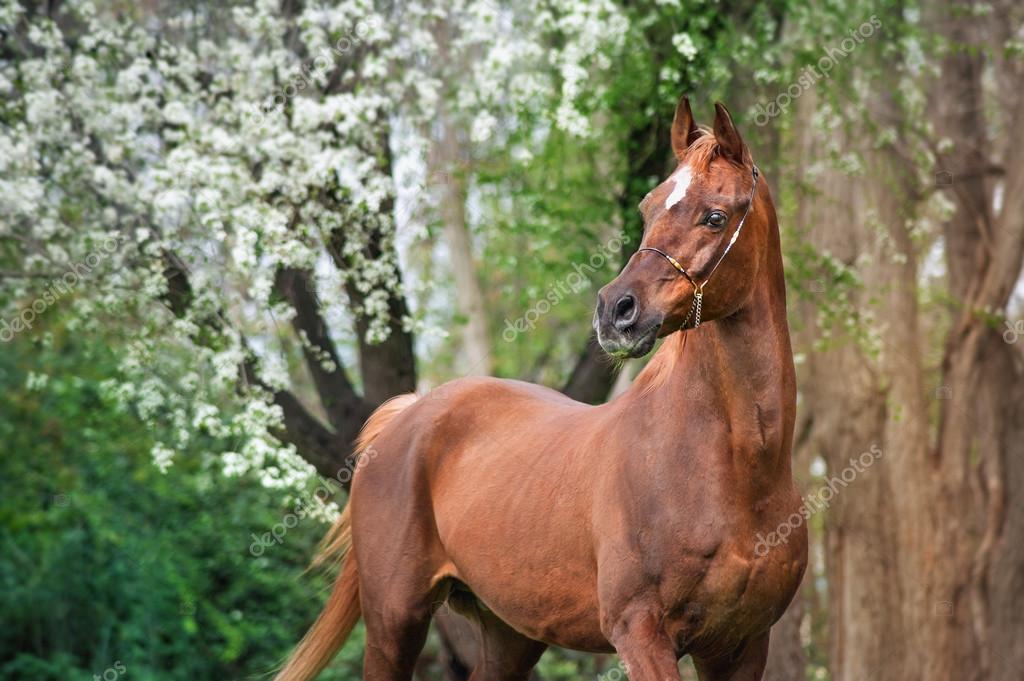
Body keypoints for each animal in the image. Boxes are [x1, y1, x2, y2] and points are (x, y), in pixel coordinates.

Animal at [274, 98, 807, 681]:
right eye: (647, 208)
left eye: (715, 215)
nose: (616, 311)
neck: (732, 468)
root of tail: (410, 415)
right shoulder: (641, 634)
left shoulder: (740, 646)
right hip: (395, 620)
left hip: (510, 634)